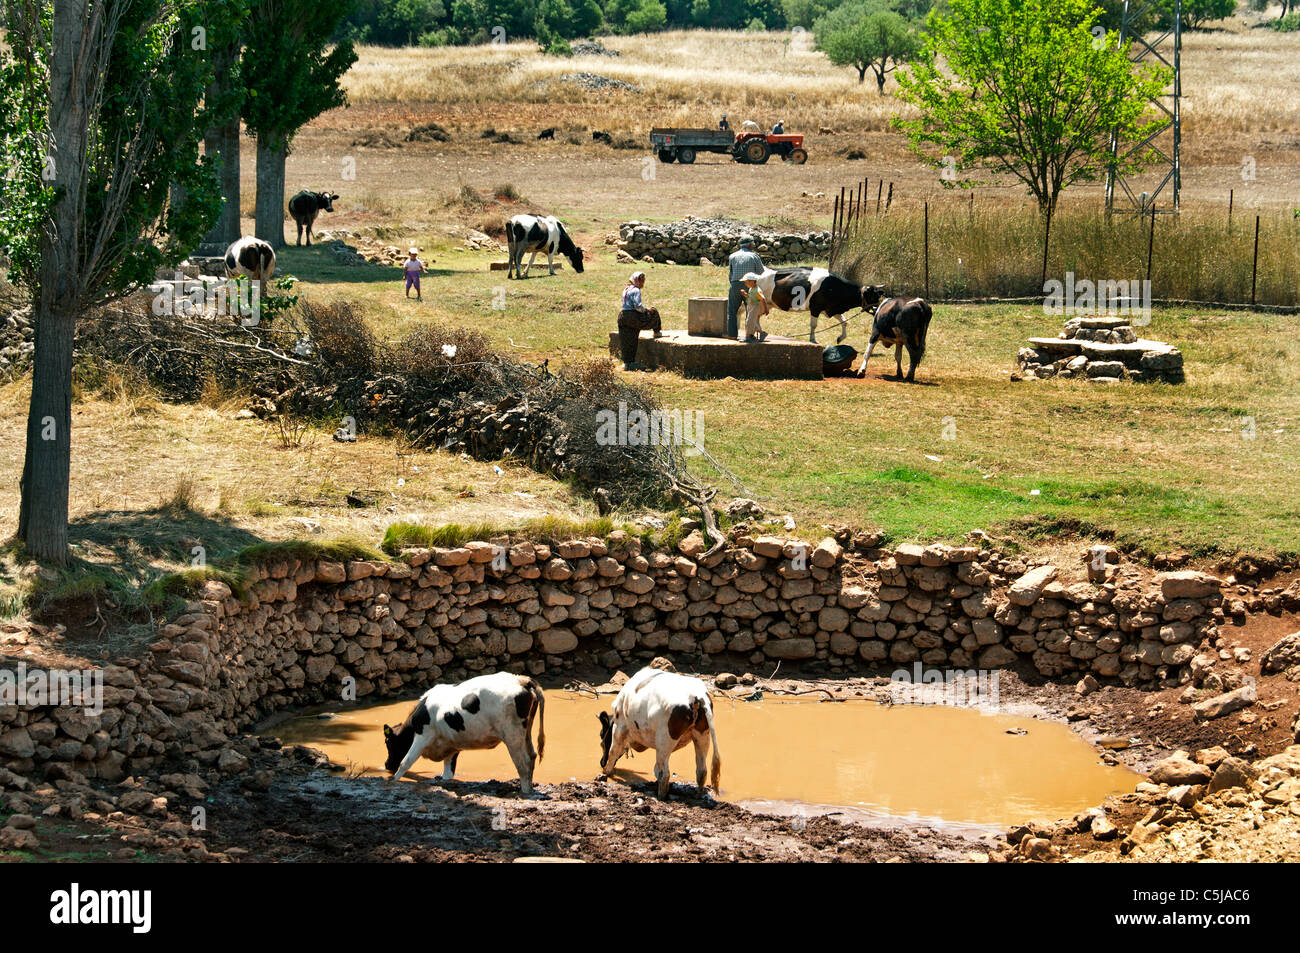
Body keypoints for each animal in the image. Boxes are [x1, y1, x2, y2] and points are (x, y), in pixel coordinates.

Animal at [383, 672, 546, 795]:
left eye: (388, 743)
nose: (386, 764)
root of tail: (522, 680)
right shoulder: (450, 747)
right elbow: (447, 774)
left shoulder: (423, 736)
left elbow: (406, 762)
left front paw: (393, 781)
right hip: (526, 732)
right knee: (532, 756)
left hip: (512, 735)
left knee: (523, 763)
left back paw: (524, 792)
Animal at [597, 667, 721, 799]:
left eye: (602, 734)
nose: (601, 762)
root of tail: (696, 697)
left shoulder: (619, 726)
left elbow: (613, 751)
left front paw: (606, 772)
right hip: (702, 735)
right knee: (701, 771)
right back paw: (698, 796)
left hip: (664, 741)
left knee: (665, 774)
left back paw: (661, 796)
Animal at [755, 266, 885, 344]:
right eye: (872, 297)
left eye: (878, 296)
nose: (878, 310)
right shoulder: (816, 308)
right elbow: (814, 325)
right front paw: (813, 339)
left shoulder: (831, 309)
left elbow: (845, 322)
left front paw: (840, 338)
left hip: (768, 304)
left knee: (757, 316)